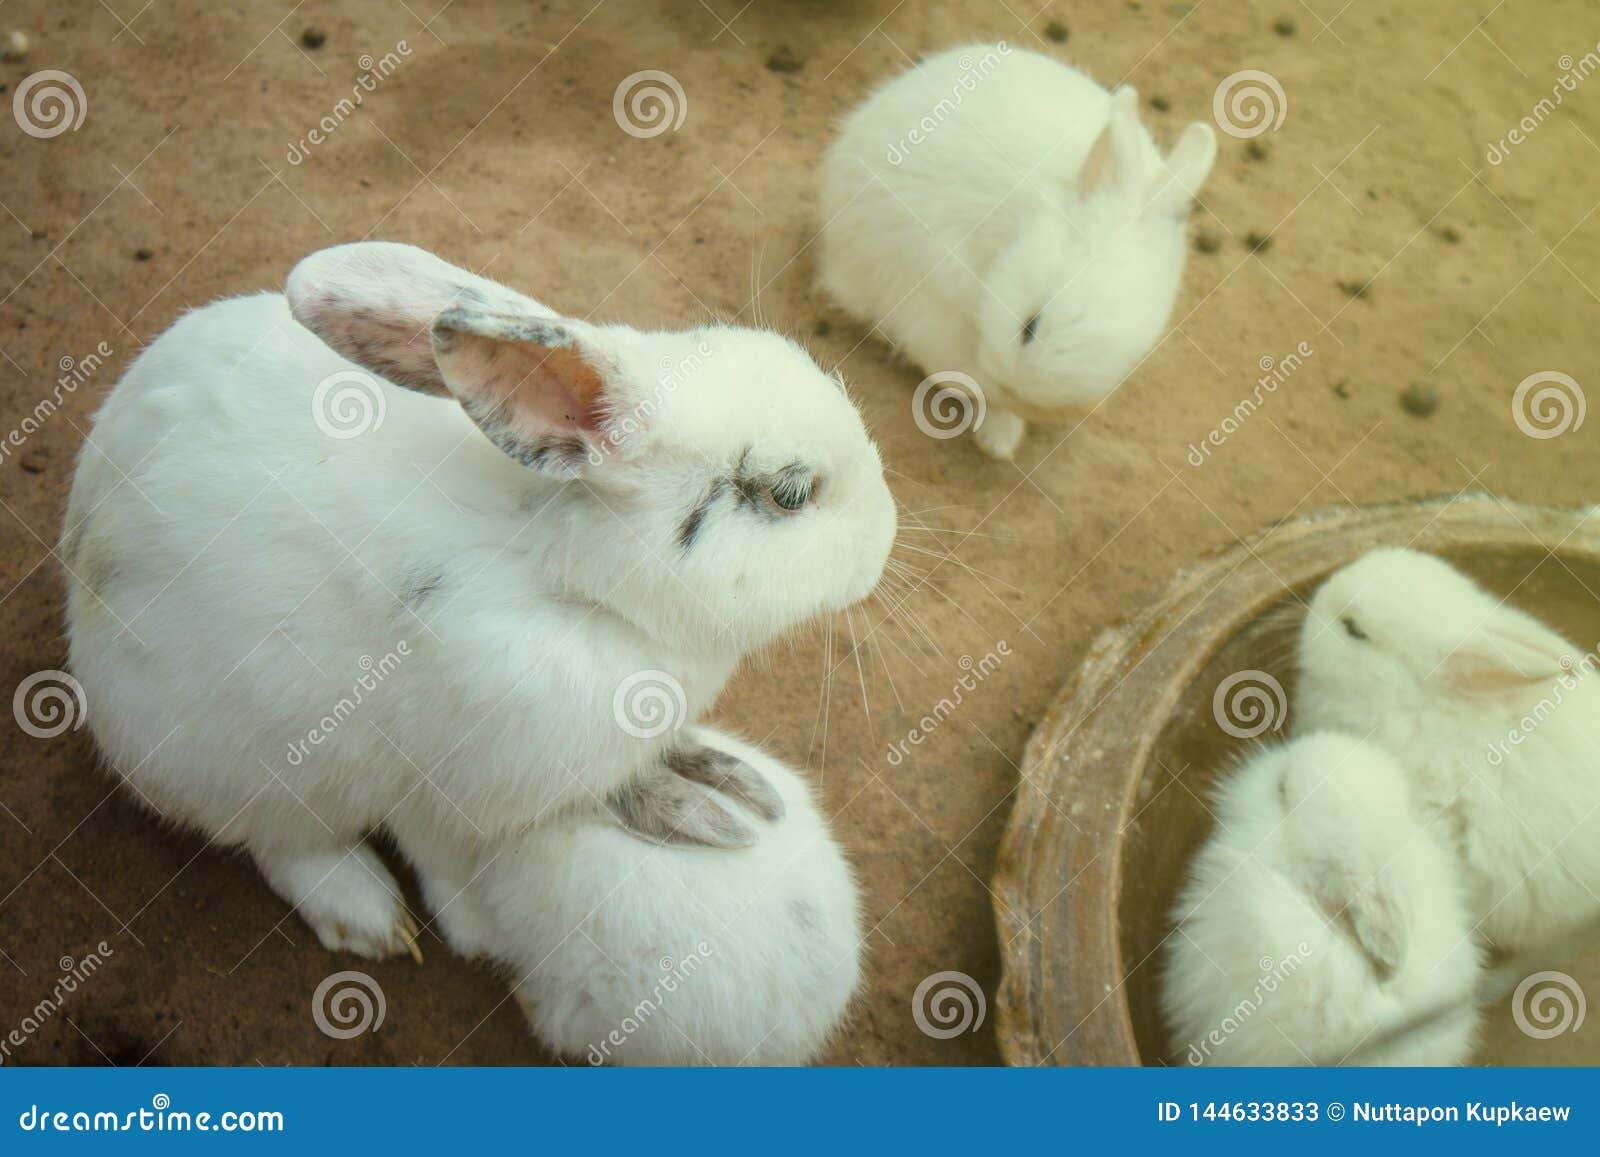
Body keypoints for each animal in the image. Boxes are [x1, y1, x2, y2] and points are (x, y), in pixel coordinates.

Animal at [61, 241, 897, 962]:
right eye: (790, 495)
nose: (888, 533)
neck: (568, 575)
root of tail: (79, 540)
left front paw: (723, 778)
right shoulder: (472, 781)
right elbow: (490, 835)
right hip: (225, 754)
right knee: (278, 836)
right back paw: (366, 914)